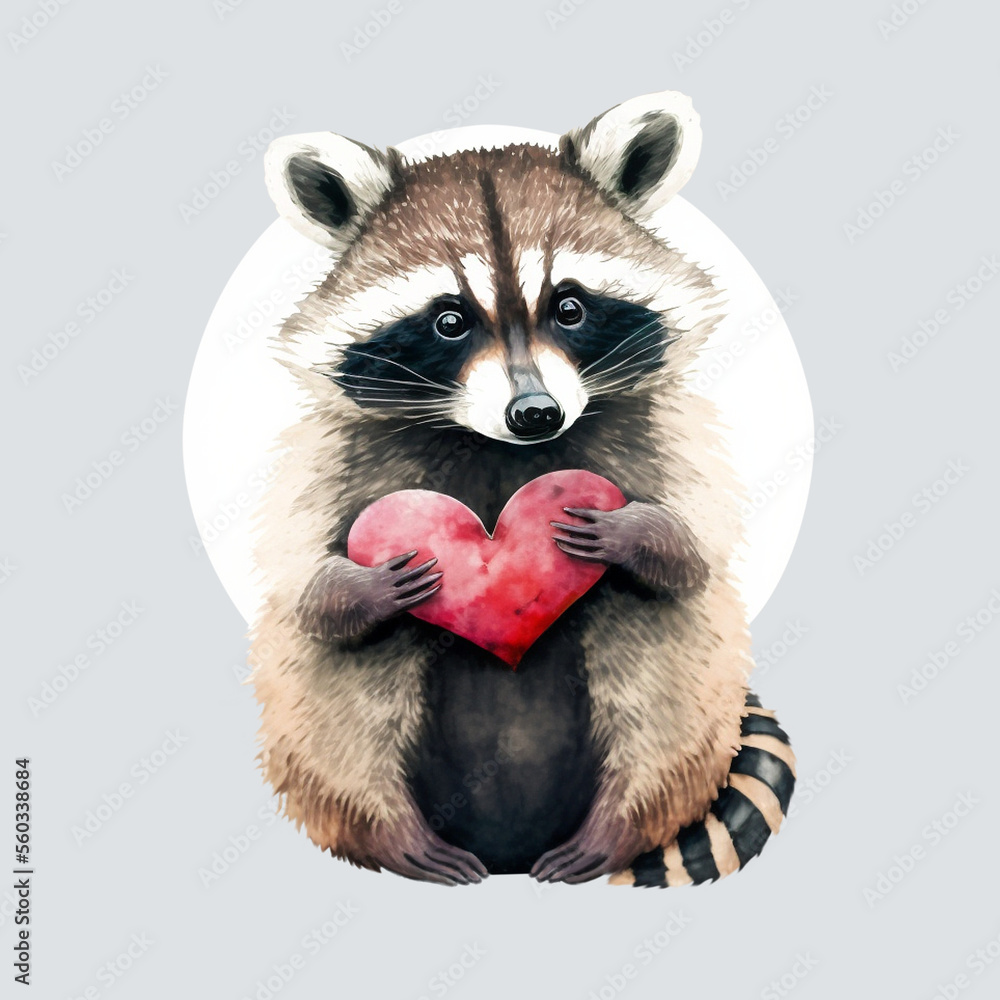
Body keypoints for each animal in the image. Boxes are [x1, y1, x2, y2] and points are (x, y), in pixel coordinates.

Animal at [250, 91, 795, 886]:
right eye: (449, 321)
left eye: (569, 307)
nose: (535, 413)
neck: (502, 451)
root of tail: (510, 855)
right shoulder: (333, 456)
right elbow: (307, 598)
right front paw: (363, 587)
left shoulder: (665, 431)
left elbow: (693, 558)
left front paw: (637, 533)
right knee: (340, 687)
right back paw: (387, 829)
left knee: (658, 644)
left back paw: (620, 822)